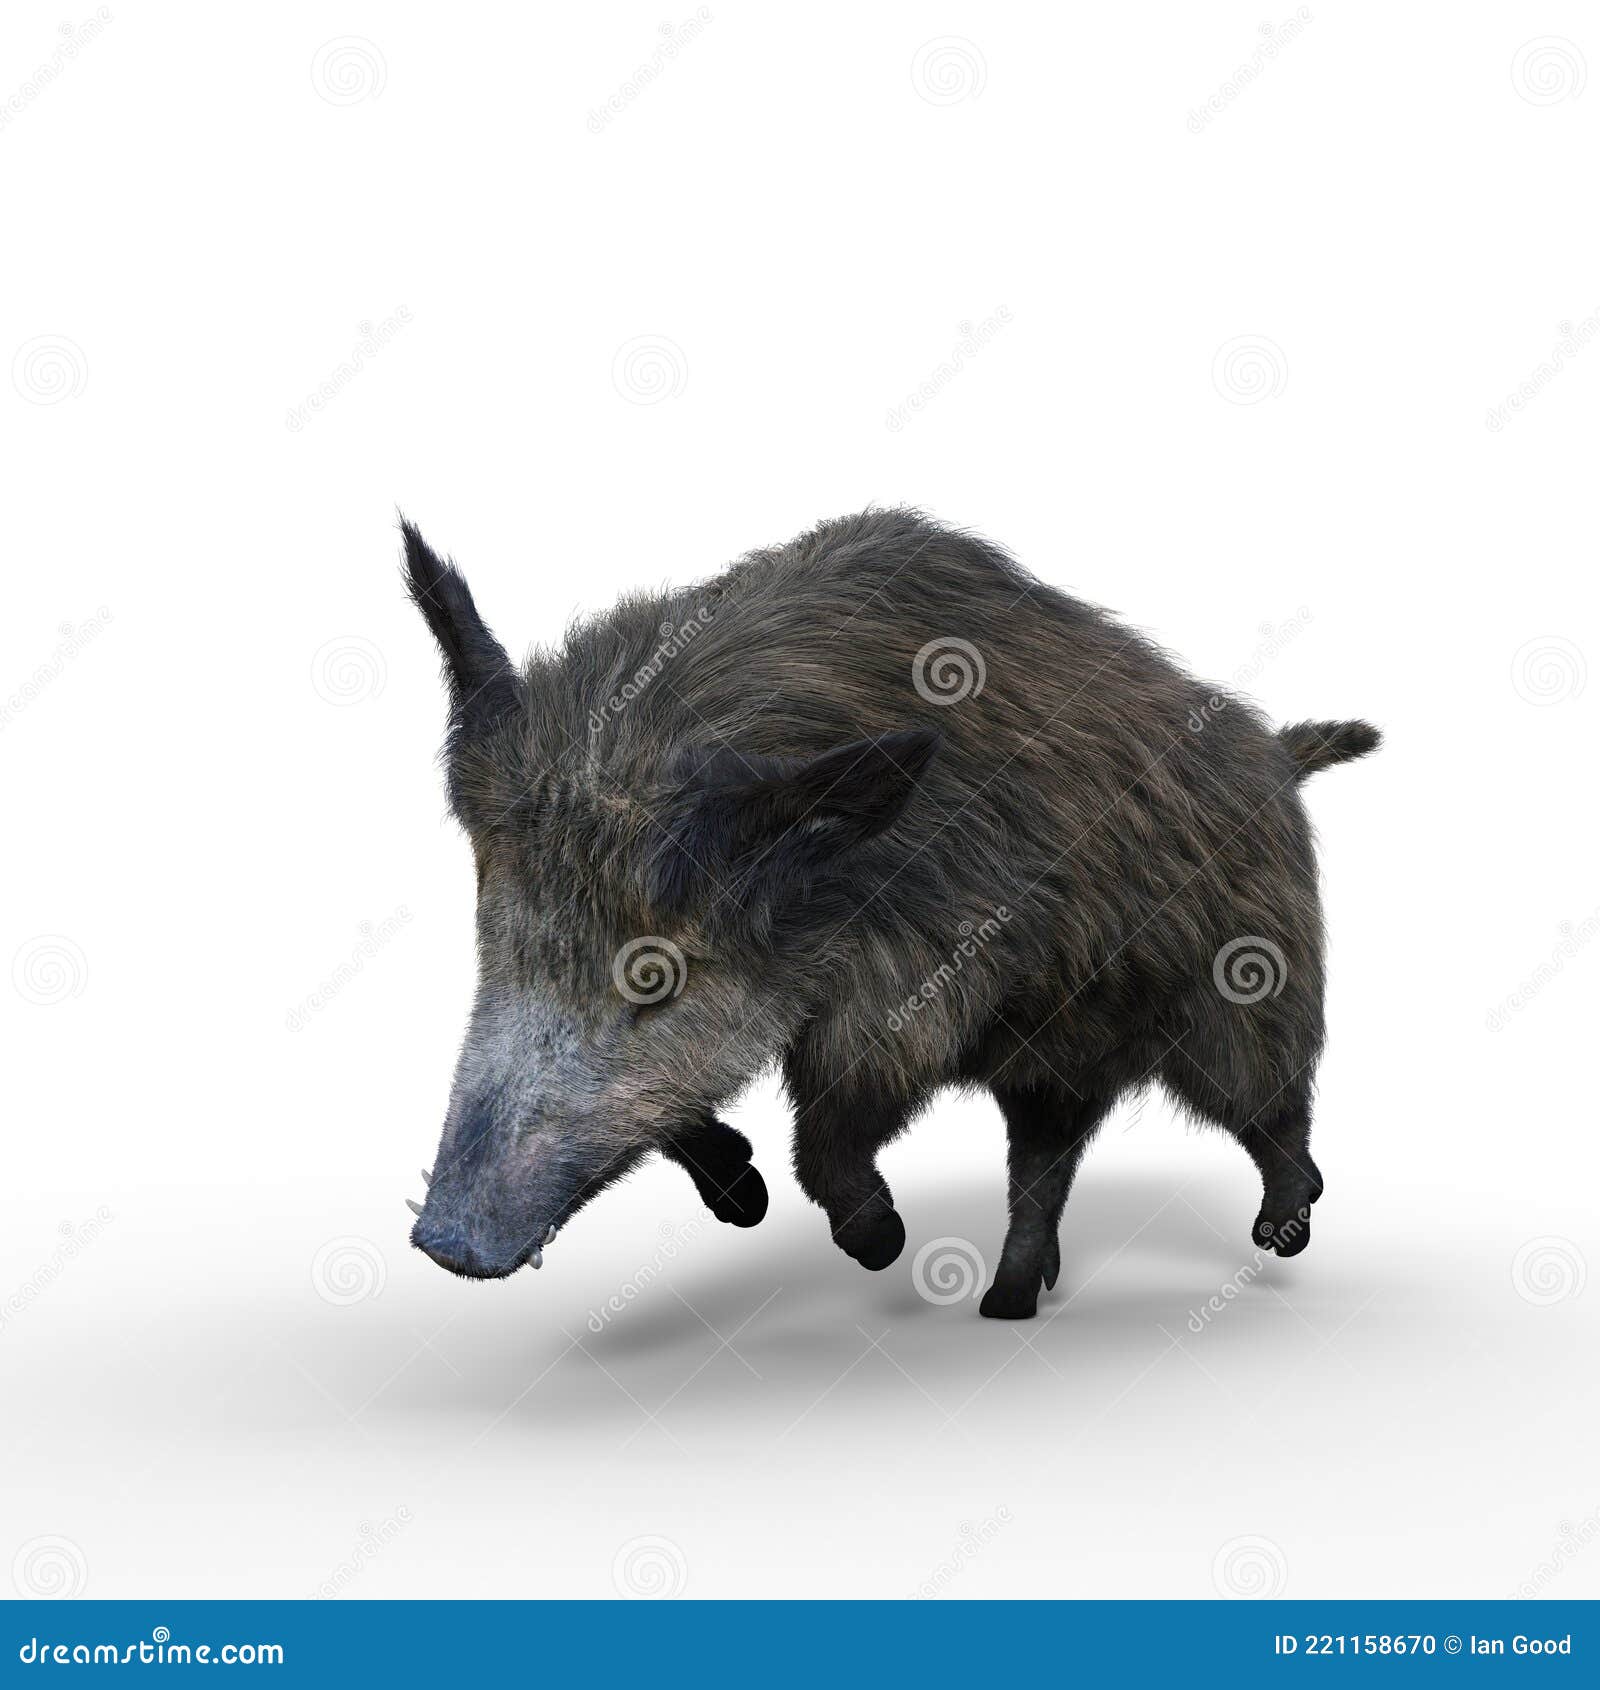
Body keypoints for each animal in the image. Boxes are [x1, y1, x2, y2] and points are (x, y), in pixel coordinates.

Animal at [401, 508, 1378, 1317]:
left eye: (656, 979)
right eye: (496, 943)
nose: (444, 1245)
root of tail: (1279, 757)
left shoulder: (923, 986)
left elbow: (830, 1127)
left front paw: (881, 1247)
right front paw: (748, 1199)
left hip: (1249, 993)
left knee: (1274, 1115)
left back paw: (1278, 1233)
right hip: (1061, 1057)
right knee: (1045, 1164)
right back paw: (1012, 1302)